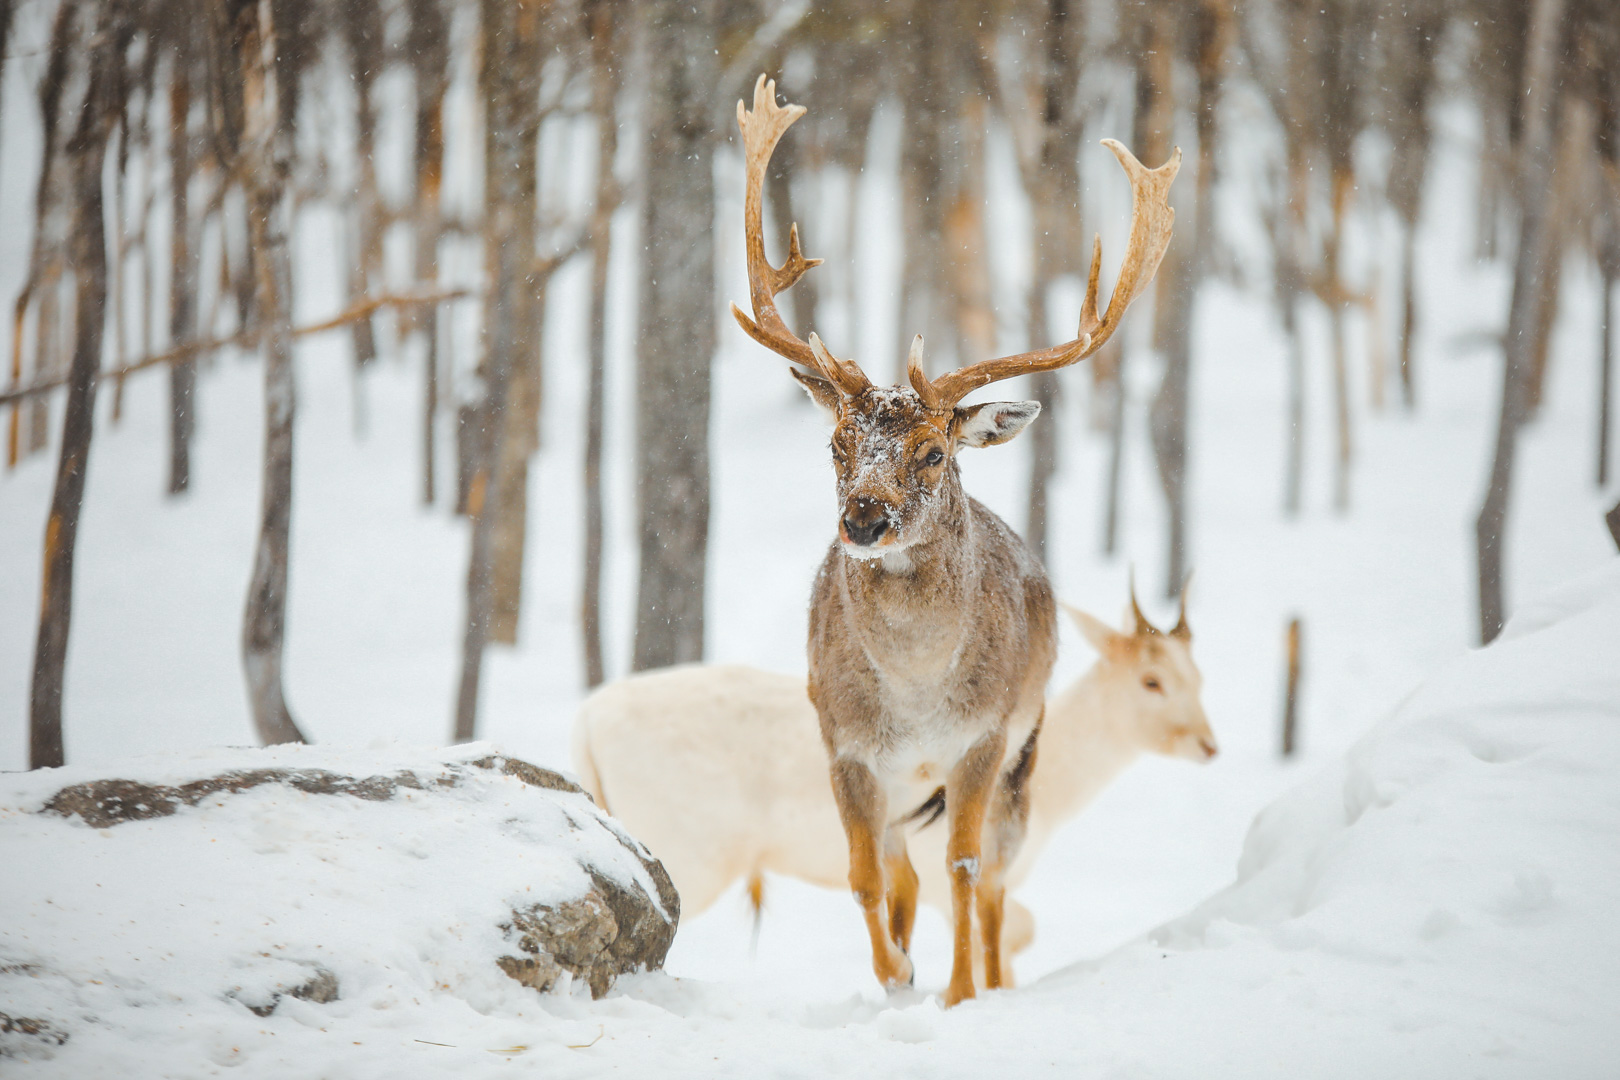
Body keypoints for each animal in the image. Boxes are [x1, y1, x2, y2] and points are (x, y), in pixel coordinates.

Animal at [571, 585, 1216, 990]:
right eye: (1151, 680)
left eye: (1198, 673)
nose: (1209, 744)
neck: (1055, 792)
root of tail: (587, 719)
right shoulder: (941, 864)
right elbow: (1009, 926)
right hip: (690, 844)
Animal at [726, 75, 1178, 1005]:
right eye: (837, 443)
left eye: (934, 451)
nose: (863, 518)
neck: (916, 692)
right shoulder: (846, 745)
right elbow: (868, 879)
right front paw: (897, 978)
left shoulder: (984, 735)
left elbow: (966, 869)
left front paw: (965, 993)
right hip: (908, 786)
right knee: (903, 872)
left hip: (1022, 755)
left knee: (997, 873)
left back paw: (995, 978)